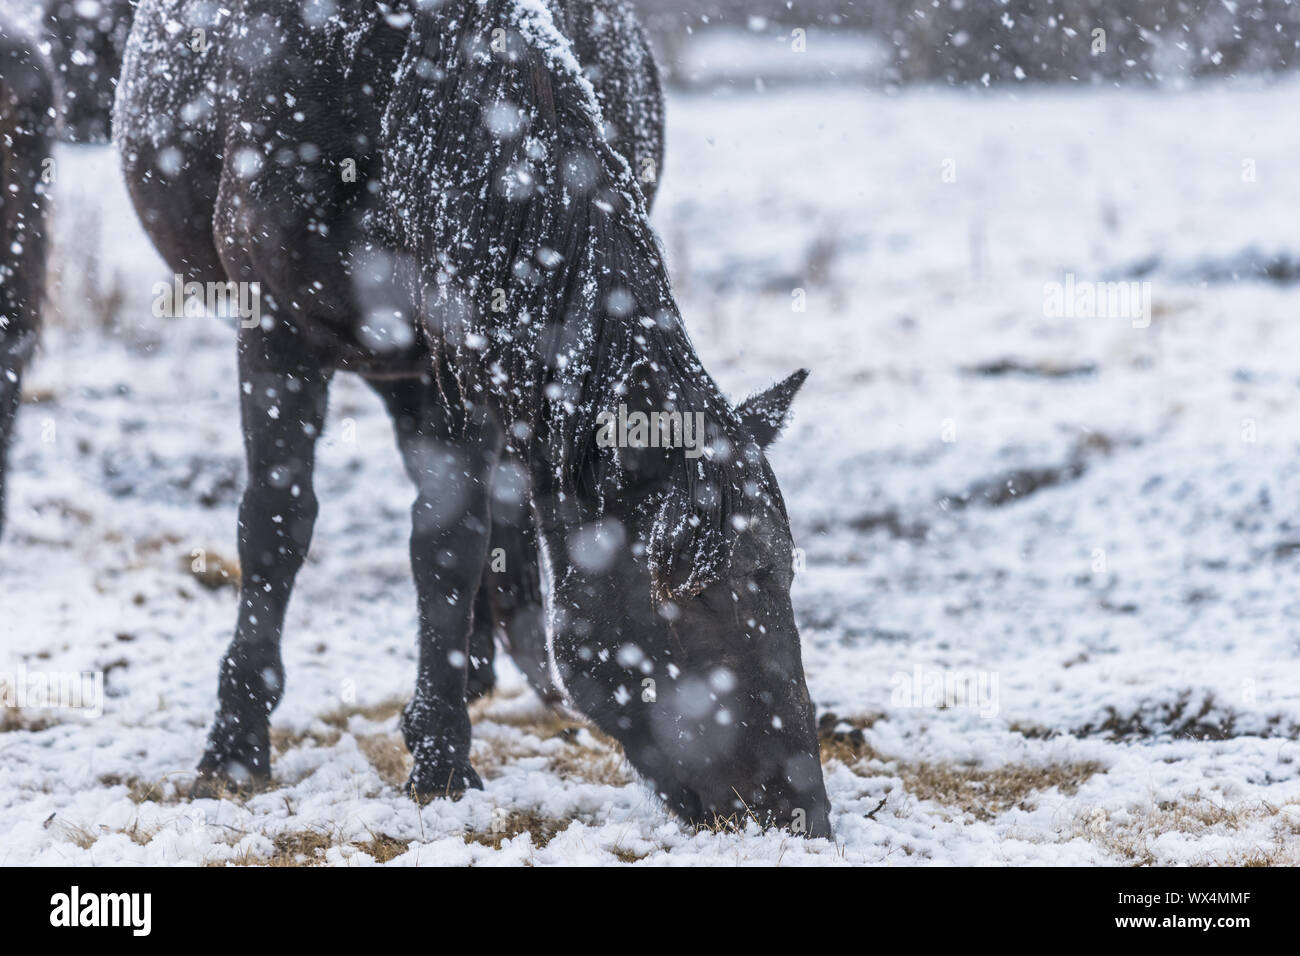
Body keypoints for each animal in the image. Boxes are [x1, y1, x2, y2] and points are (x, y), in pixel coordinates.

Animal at [115, 0, 832, 837]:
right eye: (692, 592)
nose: (801, 808)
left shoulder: (460, 355)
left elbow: (448, 543)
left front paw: (440, 754)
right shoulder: (277, 335)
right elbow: (275, 528)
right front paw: (233, 747)